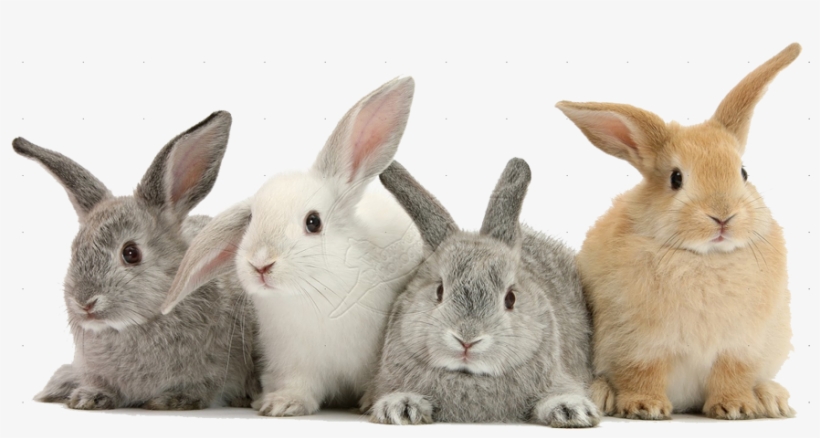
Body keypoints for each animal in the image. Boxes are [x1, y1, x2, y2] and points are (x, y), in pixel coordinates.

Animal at [160, 77, 424, 417]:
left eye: (313, 222)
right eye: (251, 219)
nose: (261, 263)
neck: (313, 298)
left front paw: (370, 402)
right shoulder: (293, 362)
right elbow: (299, 386)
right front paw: (281, 404)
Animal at [555, 43, 801, 420]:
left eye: (743, 172)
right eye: (676, 178)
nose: (723, 216)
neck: (704, 258)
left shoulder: (740, 346)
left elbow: (732, 375)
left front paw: (736, 407)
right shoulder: (639, 344)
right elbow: (643, 373)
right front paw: (645, 407)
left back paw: (771, 398)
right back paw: (602, 395)